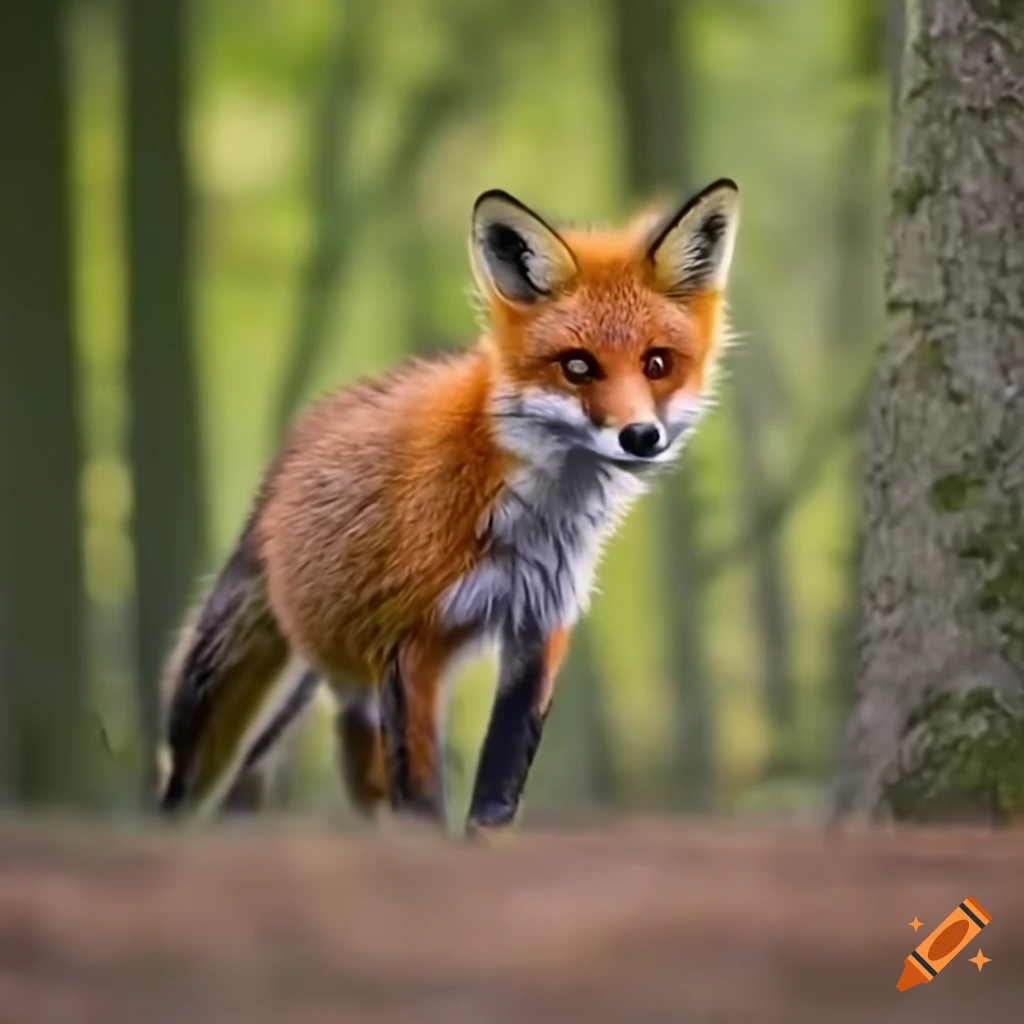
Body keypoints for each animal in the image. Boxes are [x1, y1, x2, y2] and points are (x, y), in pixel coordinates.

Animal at [158, 177, 740, 834]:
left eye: (656, 363)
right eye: (577, 366)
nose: (642, 436)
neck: (526, 517)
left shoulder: (539, 627)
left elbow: (497, 789)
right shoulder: (409, 645)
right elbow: (420, 794)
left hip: (343, 692)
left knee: (357, 778)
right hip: (223, 697)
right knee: (185, 787)